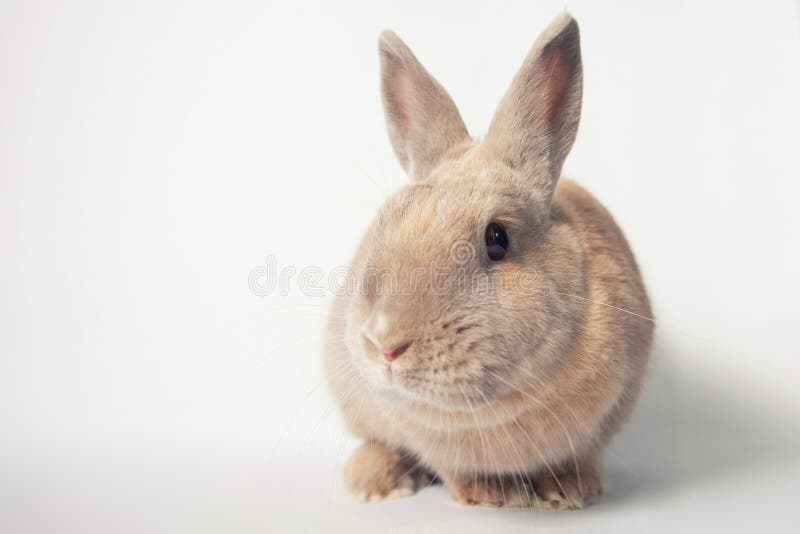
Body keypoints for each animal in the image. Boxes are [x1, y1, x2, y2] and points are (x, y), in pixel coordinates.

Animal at [324, 13, 653, 510]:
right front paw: (491, 496)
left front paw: (569, 493)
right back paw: (373, 483)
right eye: (384, 223)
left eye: (498, 238)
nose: (384, 344)